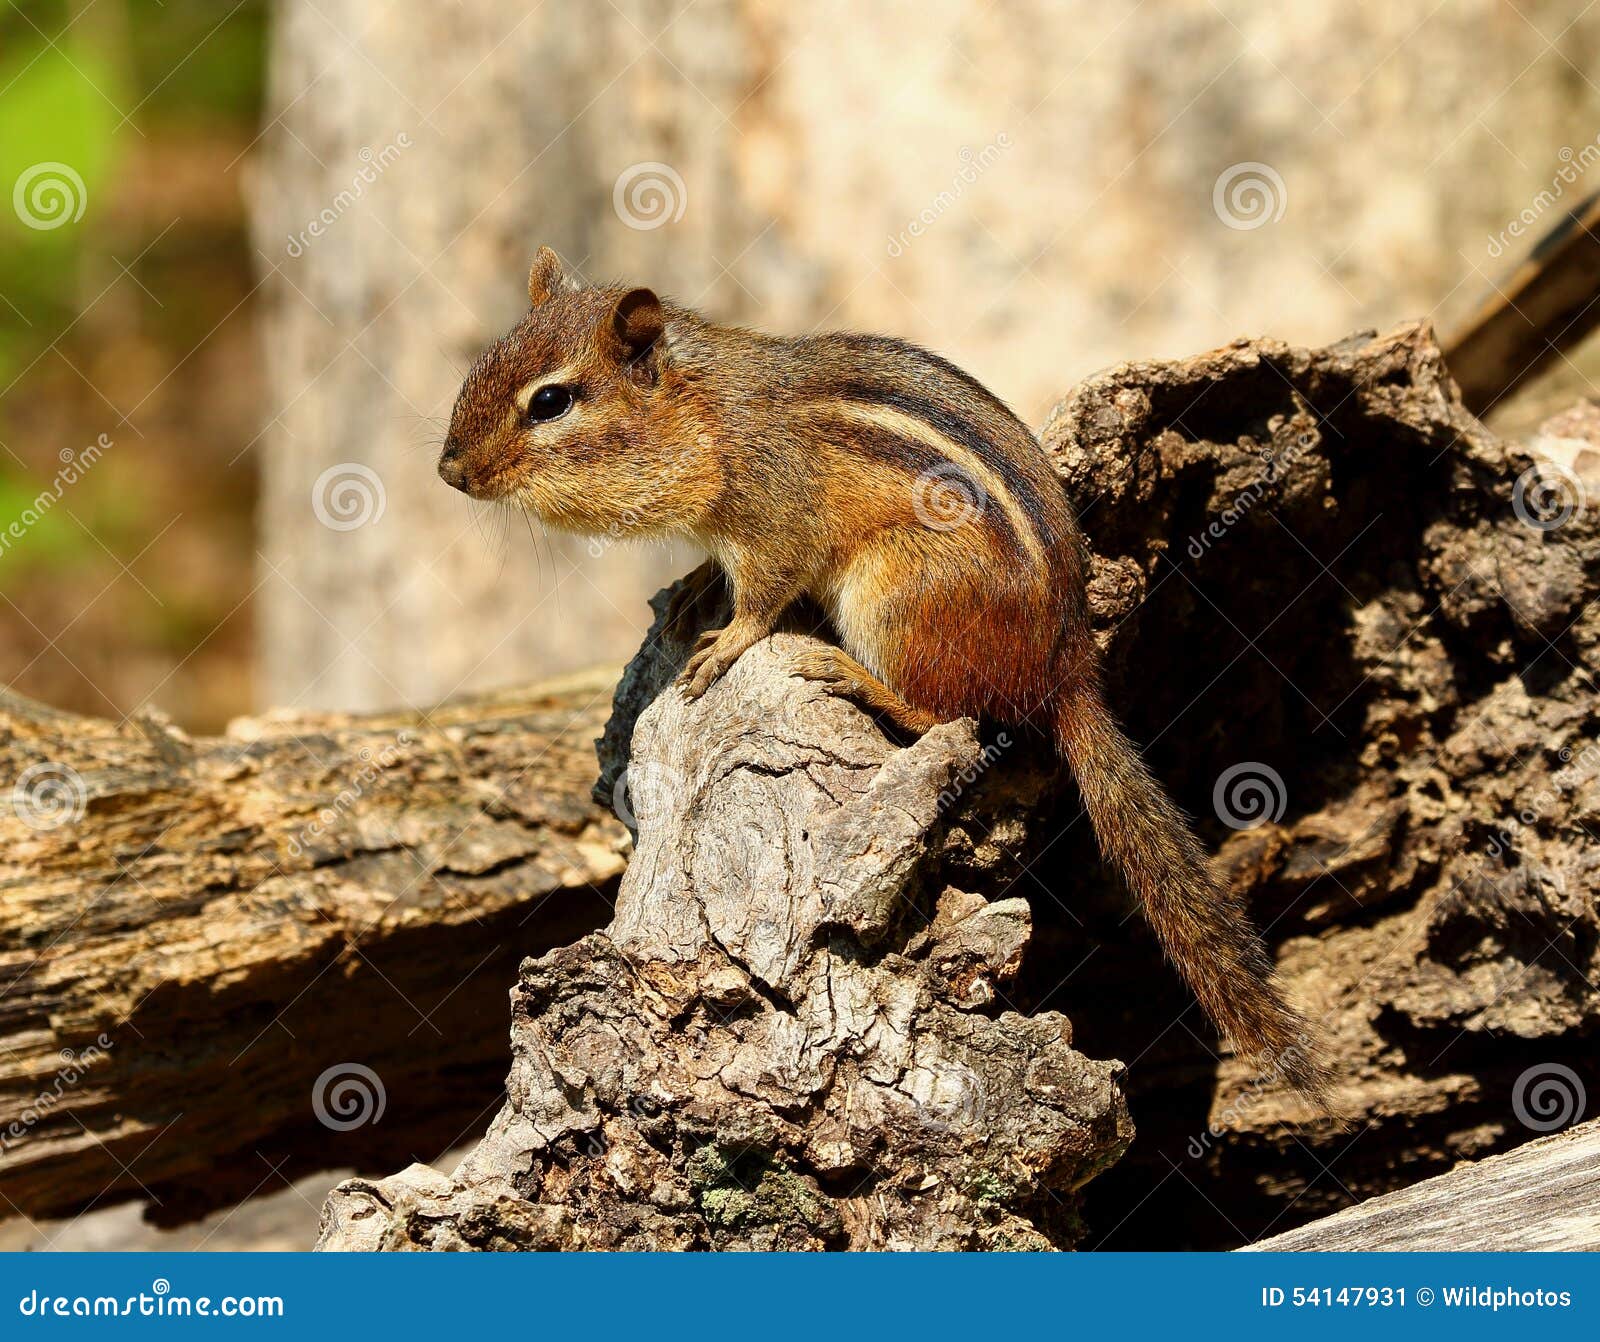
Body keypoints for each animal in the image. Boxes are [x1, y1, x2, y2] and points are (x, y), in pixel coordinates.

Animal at [439, 246, 1336, 1109]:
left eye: (551, 402)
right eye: (485, 362)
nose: (450, 472)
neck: (707, 411)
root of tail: (1067, 666)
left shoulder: (774, 517)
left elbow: (764, 598)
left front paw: (728, 641)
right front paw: (694, 589)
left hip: (891, 599)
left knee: (952, 719)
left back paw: (857, 679)